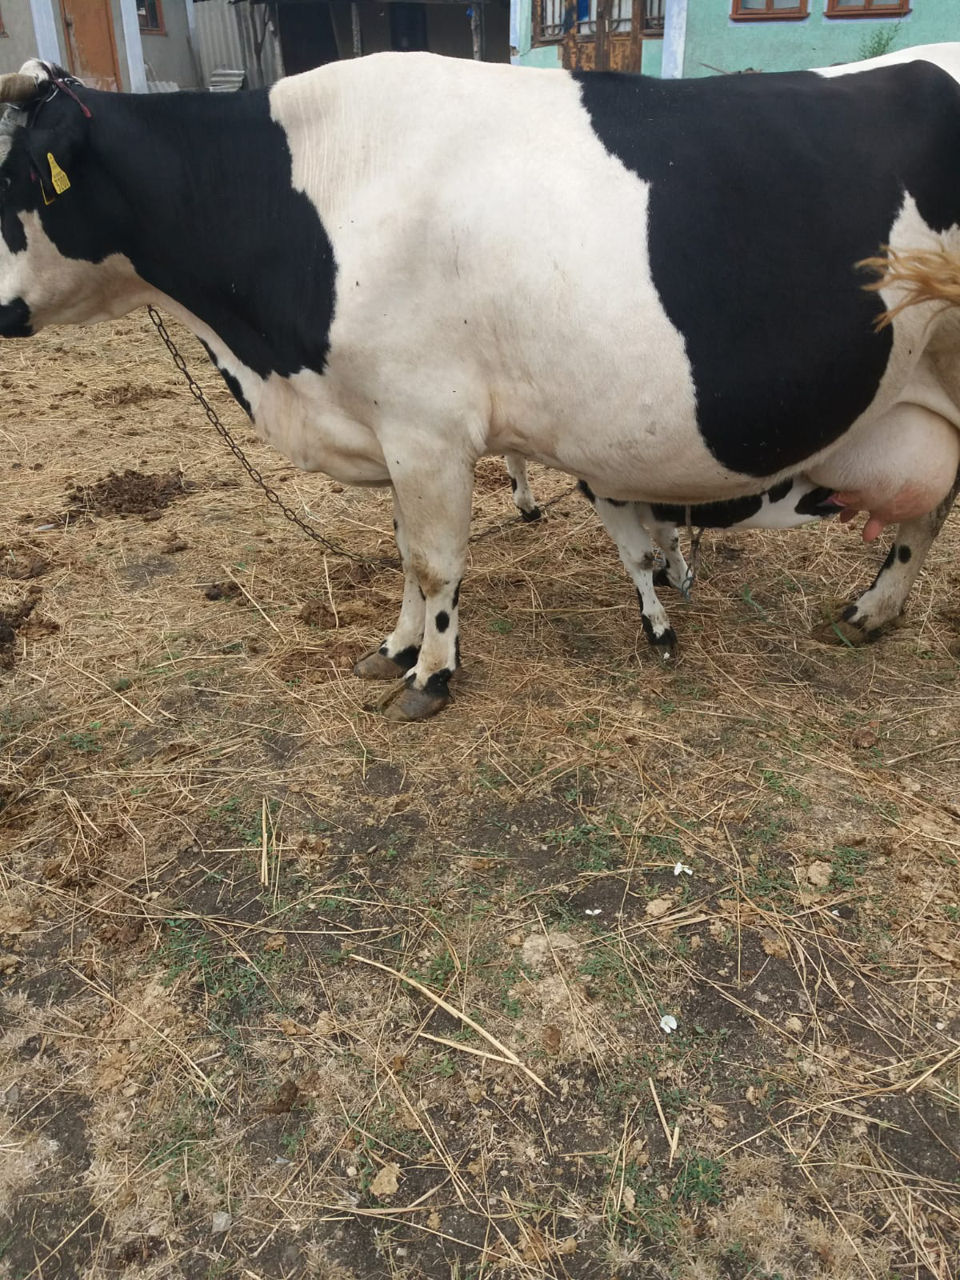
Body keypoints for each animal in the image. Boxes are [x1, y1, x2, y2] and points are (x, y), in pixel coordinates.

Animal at [2, 48, 960, 722]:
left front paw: (432, 674)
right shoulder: (391, 429)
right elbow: (402, 552)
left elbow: (434, 564)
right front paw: (394, 648)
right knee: (926, 512)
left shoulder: (426, 427)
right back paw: (872, 612)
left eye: (13, 178)